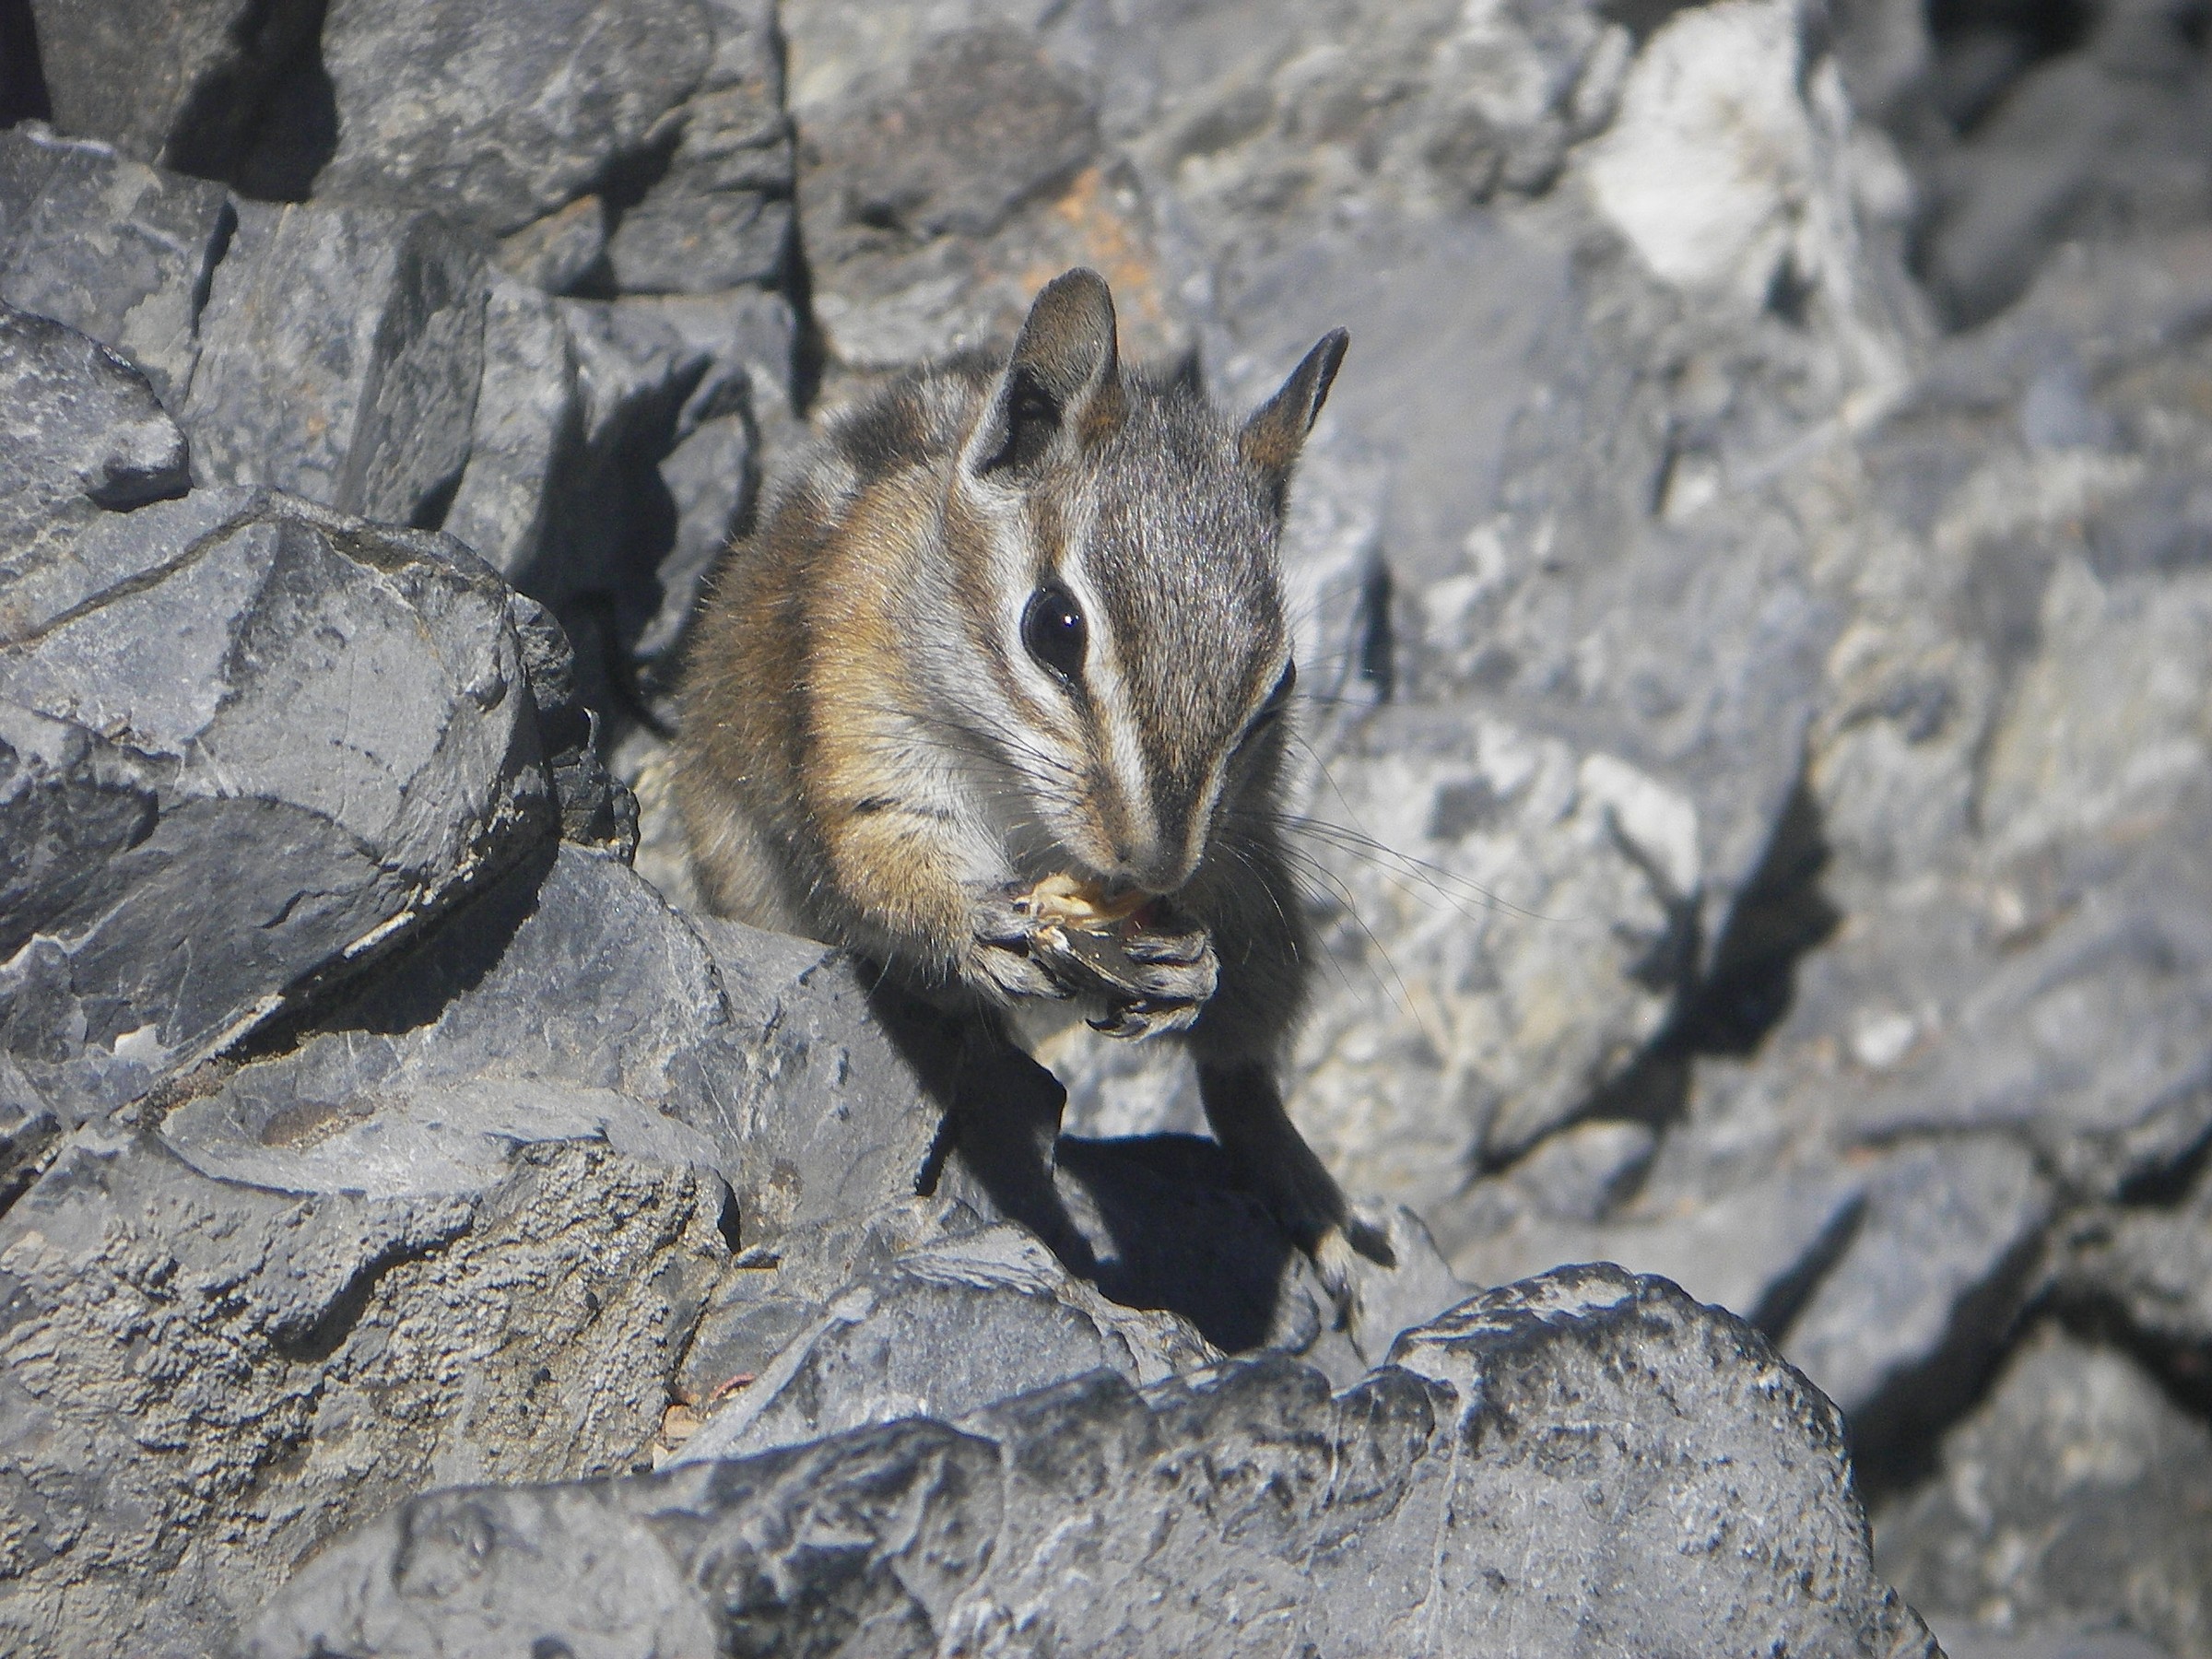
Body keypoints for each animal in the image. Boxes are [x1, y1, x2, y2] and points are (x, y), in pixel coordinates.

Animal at [673, 267, 1390, 1297]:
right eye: (1054, 627)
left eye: (1282, 684)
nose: (1152, 869)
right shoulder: (858, 717)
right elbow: (881, 848)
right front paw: (977, 926)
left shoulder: (1230, 849)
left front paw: (1188, 967)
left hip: (1270, 904)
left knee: (1240, 1076)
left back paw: (1313, 1199)